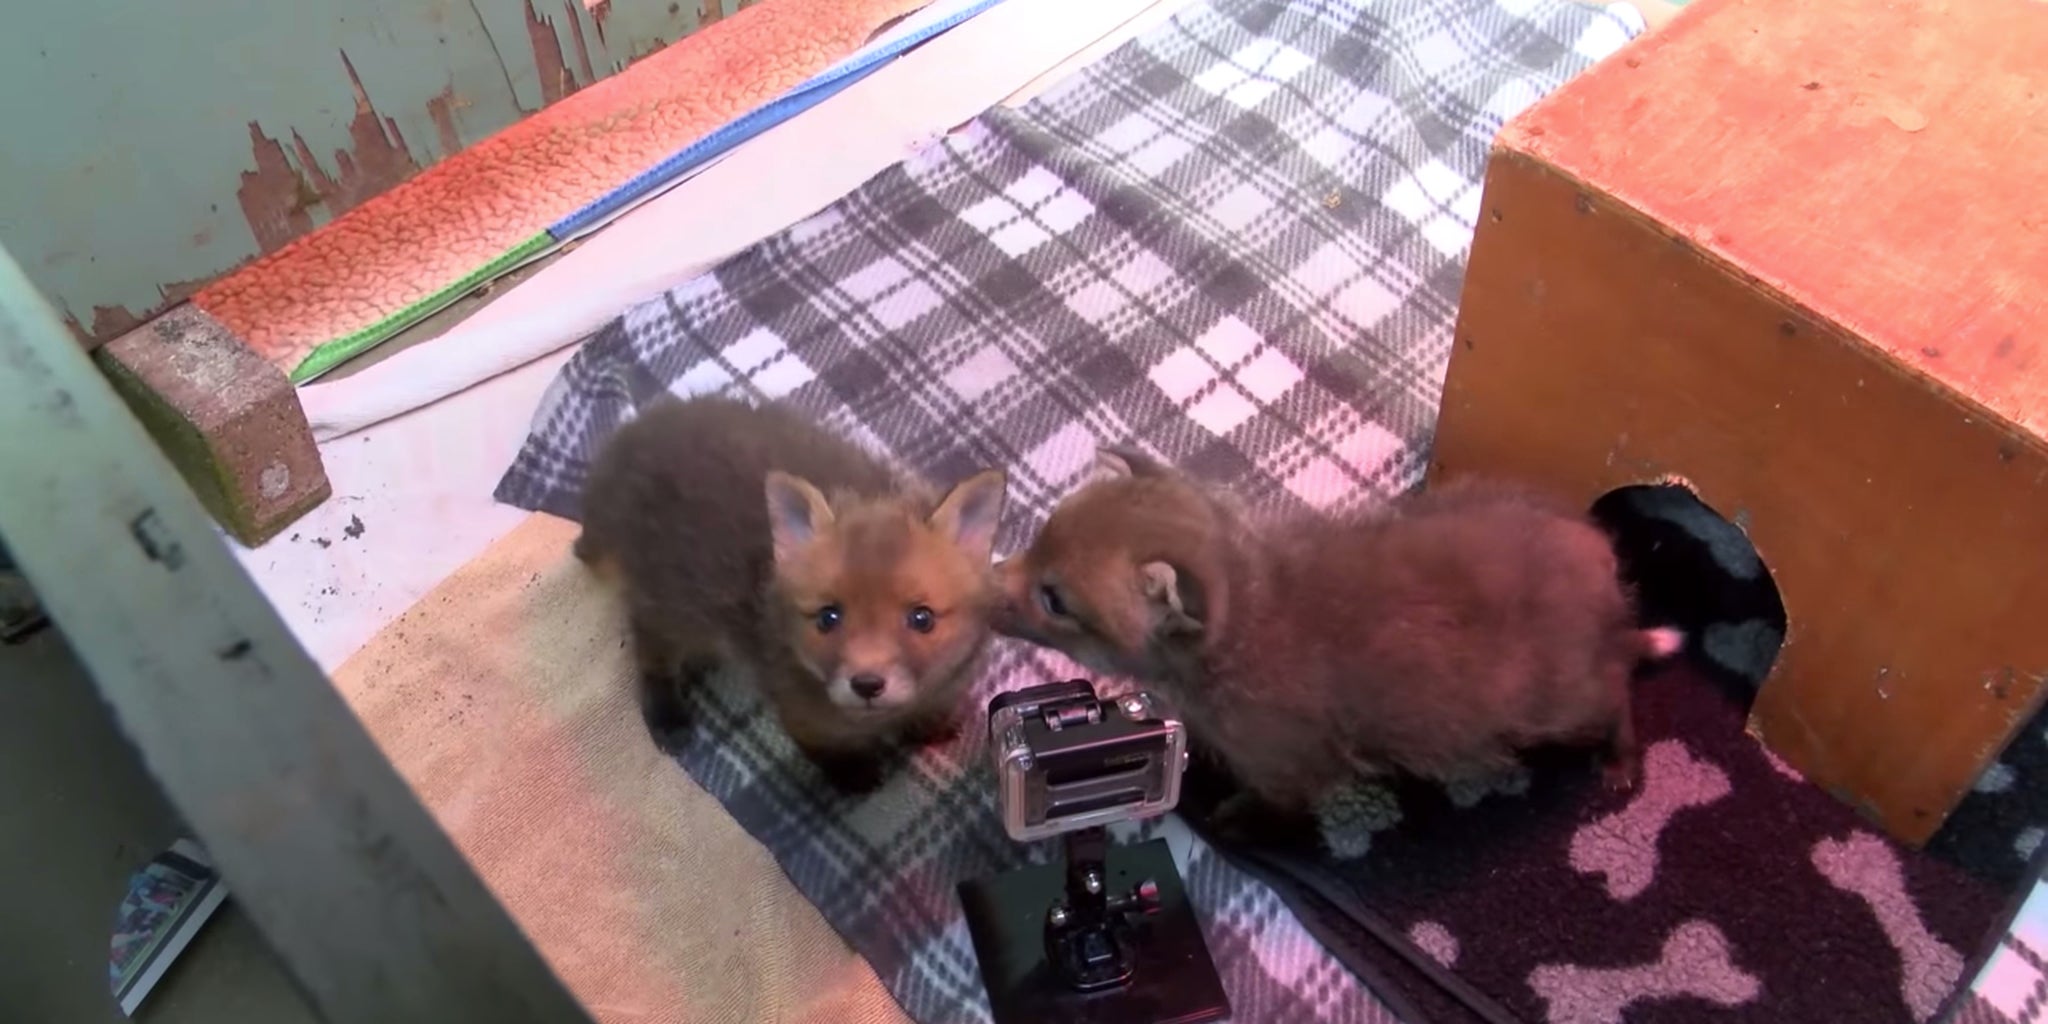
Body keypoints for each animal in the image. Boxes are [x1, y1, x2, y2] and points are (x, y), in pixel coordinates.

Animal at [573, 396, 1006, 790]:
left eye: (922, 618)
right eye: (828, 617)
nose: (867, 684)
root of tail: (629, 442)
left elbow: (932, 707)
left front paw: (928, 724)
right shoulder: (800, 713)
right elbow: (823, 747)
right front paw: (853, 775)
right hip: (672, 608)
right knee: (649, 650)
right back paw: (667, 714)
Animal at [991, 446, 1681, 820]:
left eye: (1055, 598)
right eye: (1039, 536)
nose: (985, 583)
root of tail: (1605, 578)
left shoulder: (1284, 762)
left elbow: (1272, 800)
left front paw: (1227, 814)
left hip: (1559, 704)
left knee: (1617, 692)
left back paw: (1620, 764)